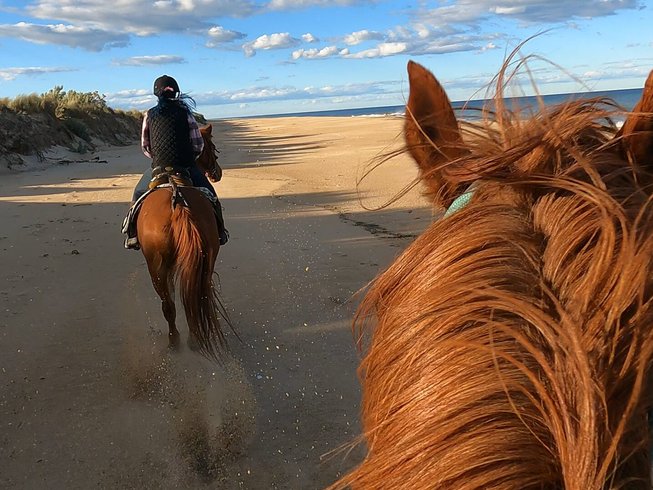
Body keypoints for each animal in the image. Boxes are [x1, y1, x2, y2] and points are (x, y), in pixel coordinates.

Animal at [136, 123, 226, 360]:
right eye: (212, 147)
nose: (218, 173)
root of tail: (178, 200)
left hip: (157, 266)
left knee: (170, 304)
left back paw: (175, 341)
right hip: (205, 257)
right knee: (192, 298)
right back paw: (190, 339)